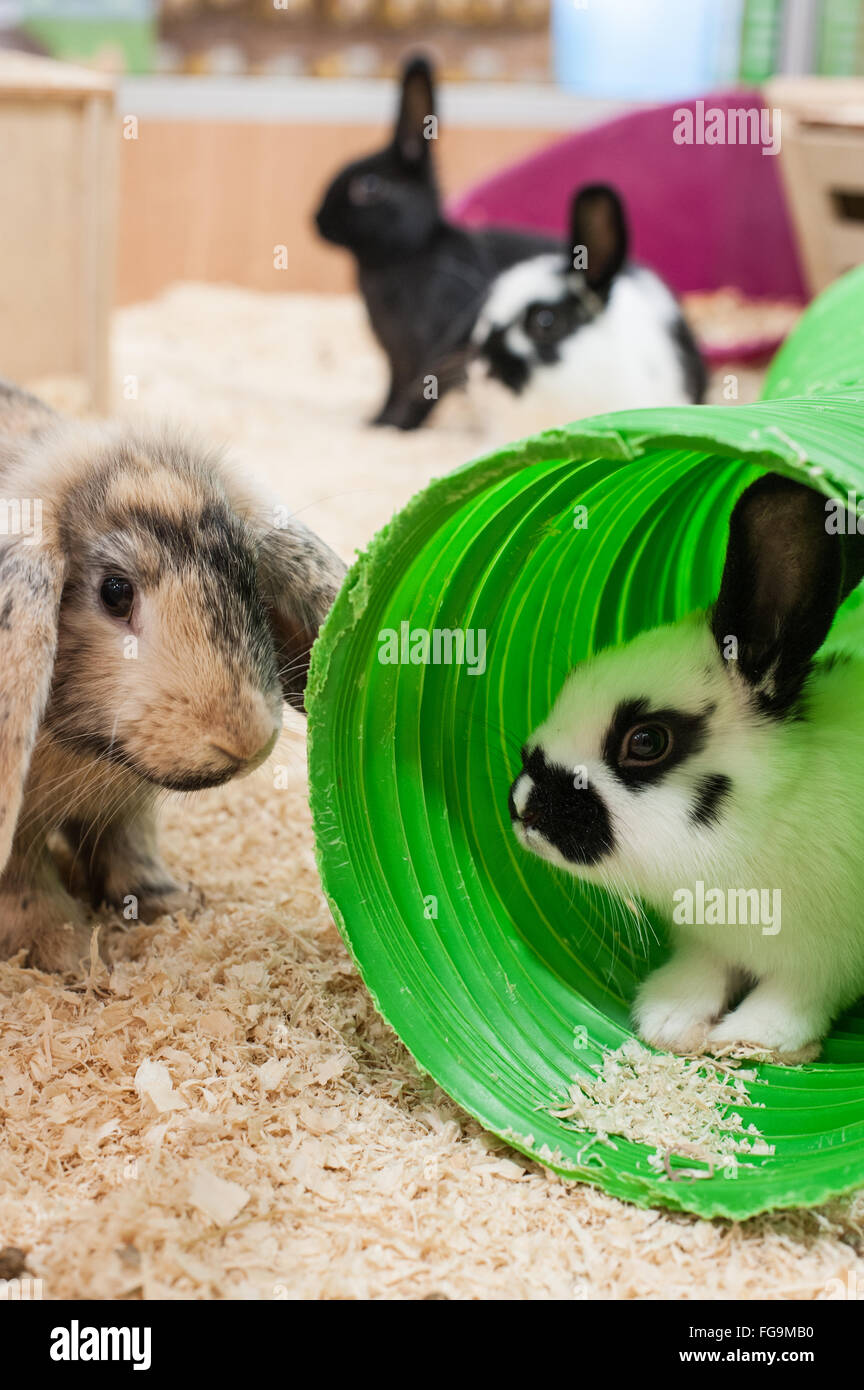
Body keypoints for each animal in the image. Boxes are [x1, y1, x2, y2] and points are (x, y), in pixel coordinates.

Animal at [0, 378, 344, 974]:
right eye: (115, 592)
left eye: (246, 573)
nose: (246, 738)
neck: (85, 749)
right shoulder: (20, 831)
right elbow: (24, 883)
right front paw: (72, 955)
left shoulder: (126, 807)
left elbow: (128, 844)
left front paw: (169, 901)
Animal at [314, 53, 558, 431]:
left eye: (368, 186)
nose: (316, 221)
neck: (408, 255)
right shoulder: (397, 361)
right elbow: (393, 390)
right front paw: (377, 422)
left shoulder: (436, 351)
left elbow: (421, 393)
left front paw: (398, 429)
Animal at [508, 471, 864, 1062]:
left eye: (647, 741)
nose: (521, 808)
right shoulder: (707, 942)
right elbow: (703, 972)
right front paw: (669, 1021)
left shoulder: (826, 964)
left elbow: (794, 998)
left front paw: (751, 1040)